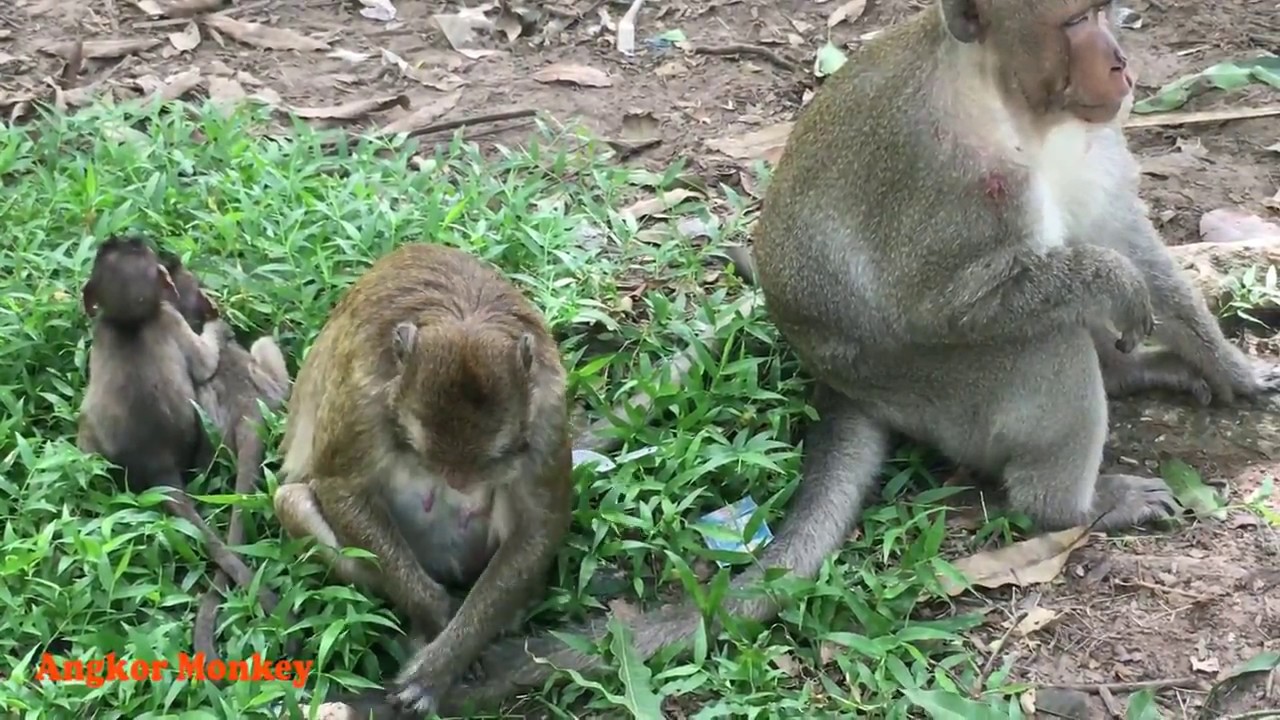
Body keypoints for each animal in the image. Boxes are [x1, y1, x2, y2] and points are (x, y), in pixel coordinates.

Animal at [272, 242, 573, 715]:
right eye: (426, 454)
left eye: (500, 456)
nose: (459, 484)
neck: (465, 316)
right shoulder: (362, 398)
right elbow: (341, 488)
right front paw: (435, 618)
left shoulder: (545, 411)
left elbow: (540, 523)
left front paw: (443, 664)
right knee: (292, 501)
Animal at [368, 1, 1280, 713]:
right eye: (1072, 23)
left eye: (1104, 12)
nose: (1119, 62)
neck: (1015, 108)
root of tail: (840, 385)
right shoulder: (943, 177)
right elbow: (946, 303)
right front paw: (1109, 285)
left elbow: (1129, 237)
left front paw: (1227, 366)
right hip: (935, 392)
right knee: (1038, 337)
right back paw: (1070, 506)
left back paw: (1139, 372)